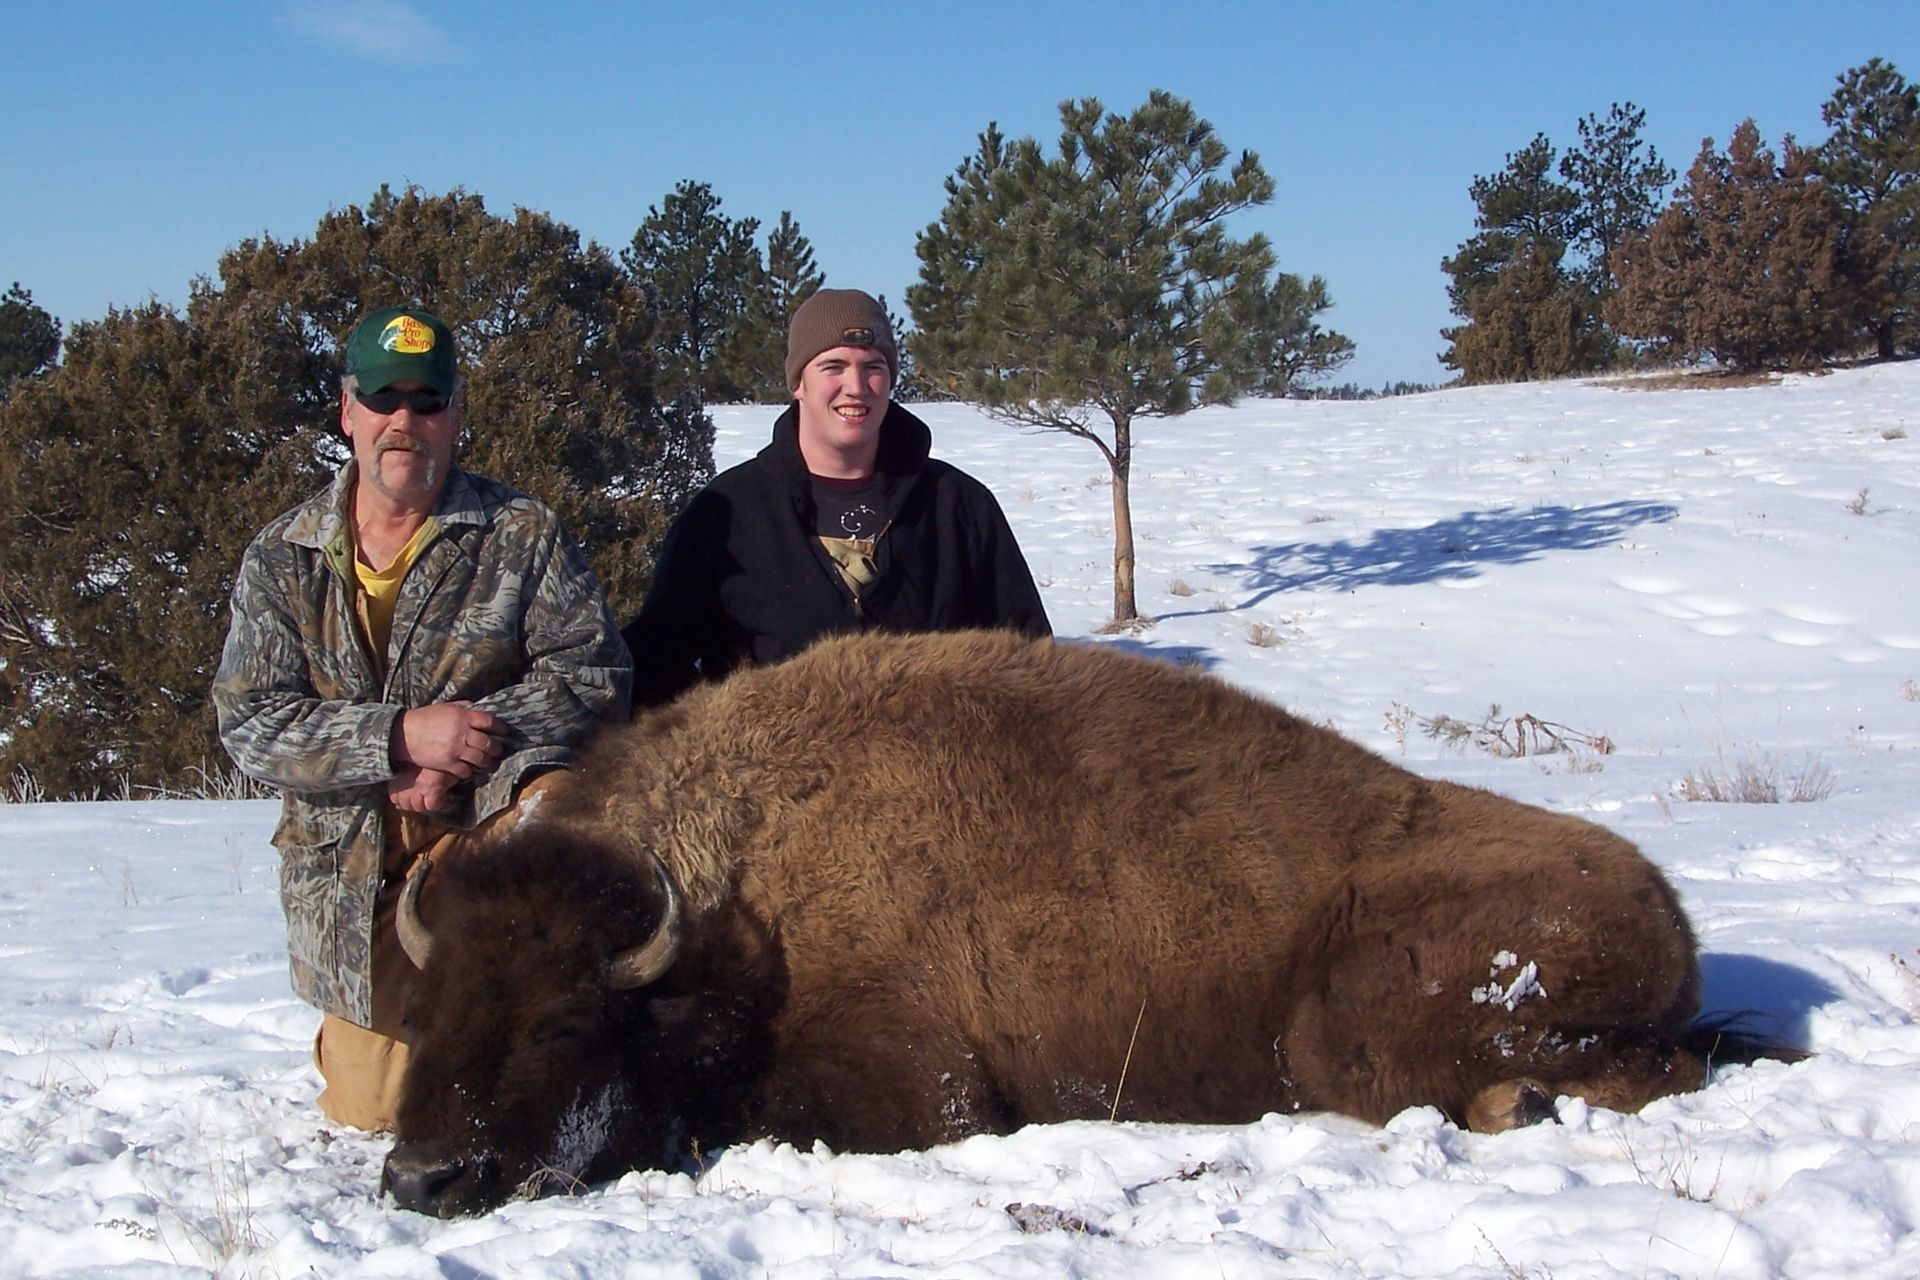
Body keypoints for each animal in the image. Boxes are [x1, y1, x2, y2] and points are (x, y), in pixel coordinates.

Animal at [381, 630, 1751, 1217]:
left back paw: (1522, 1102)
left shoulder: (918, 1087)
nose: (420, 1178)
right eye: (428, 1006)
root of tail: (1670, 910)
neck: (745, 879)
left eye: (563, 1016)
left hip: (1342, 1024)